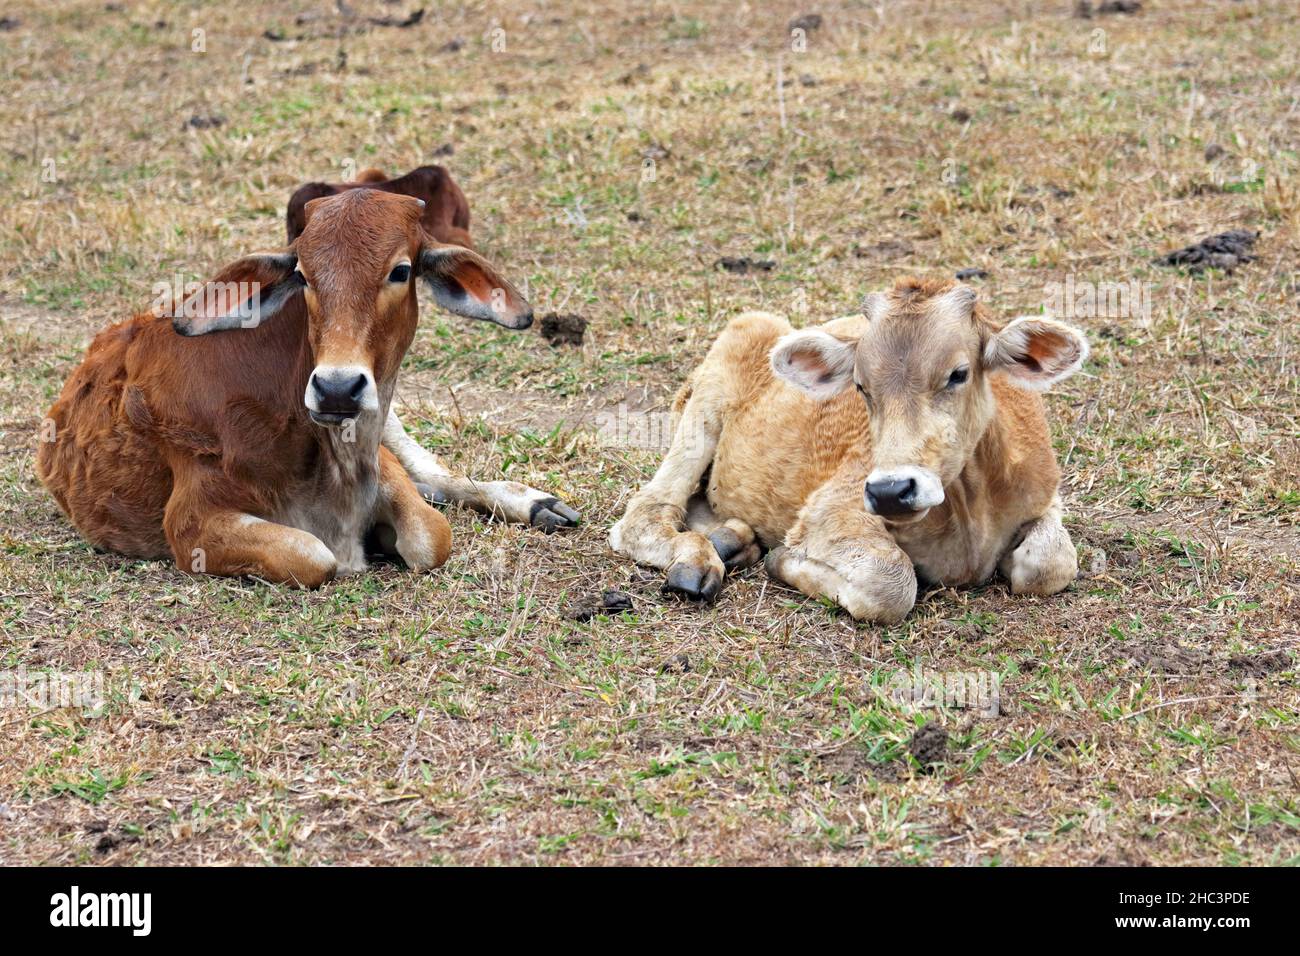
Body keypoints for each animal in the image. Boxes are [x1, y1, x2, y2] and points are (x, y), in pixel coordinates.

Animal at [36, 188, 554, 587]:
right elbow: (314, 556)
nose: (337, 387)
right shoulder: (191, 523)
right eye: (302, 274)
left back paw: (539, 503)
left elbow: (431, 537)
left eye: (401, 270)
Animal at [609, 277, 1089, 623]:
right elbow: (891, 583)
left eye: (958, 373)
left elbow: (1051, 562)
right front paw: (783, 559)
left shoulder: (1047, 494)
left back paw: (731, 541)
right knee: (646, 512)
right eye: (861, 386)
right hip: (716, 381)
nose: (892, 490)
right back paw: (698, 561)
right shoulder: (831, 510)